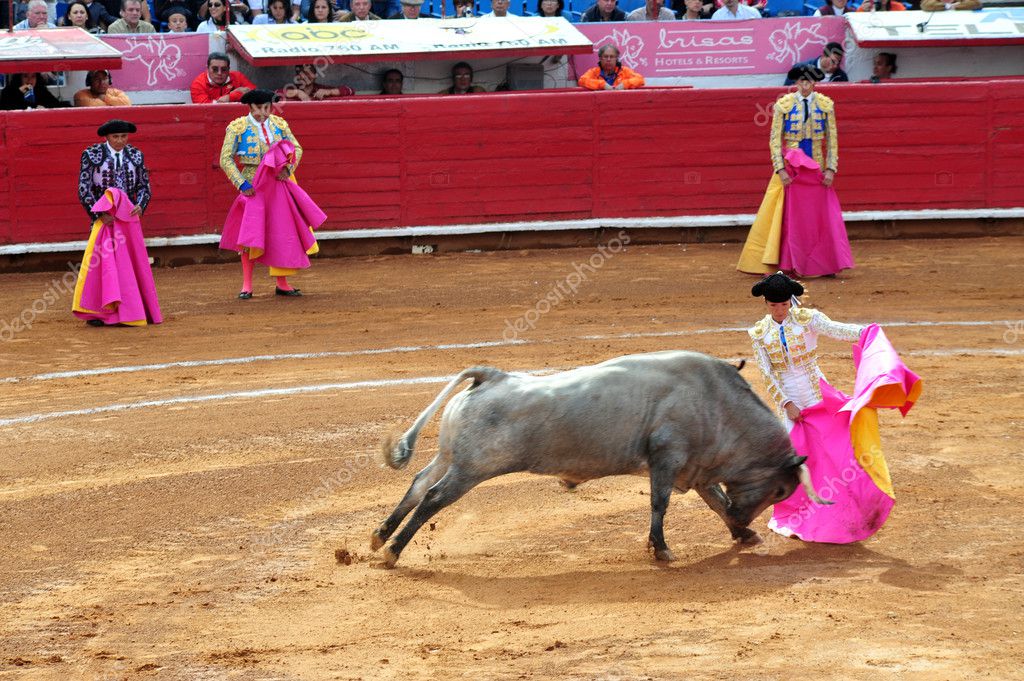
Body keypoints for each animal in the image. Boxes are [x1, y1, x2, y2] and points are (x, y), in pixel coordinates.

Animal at [372, 351, 829, 568]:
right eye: (781, 490)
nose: (744, 517)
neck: (719, 405)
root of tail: (492, 376)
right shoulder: (668, 458)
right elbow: (660, 504)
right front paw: (661, 550)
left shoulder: (695, 469)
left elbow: (714, 500)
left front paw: (743, 535)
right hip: (470, 469)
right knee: (433, 496)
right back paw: (392, 552)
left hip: (450, 456)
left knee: (417, 484)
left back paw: (379, 537)